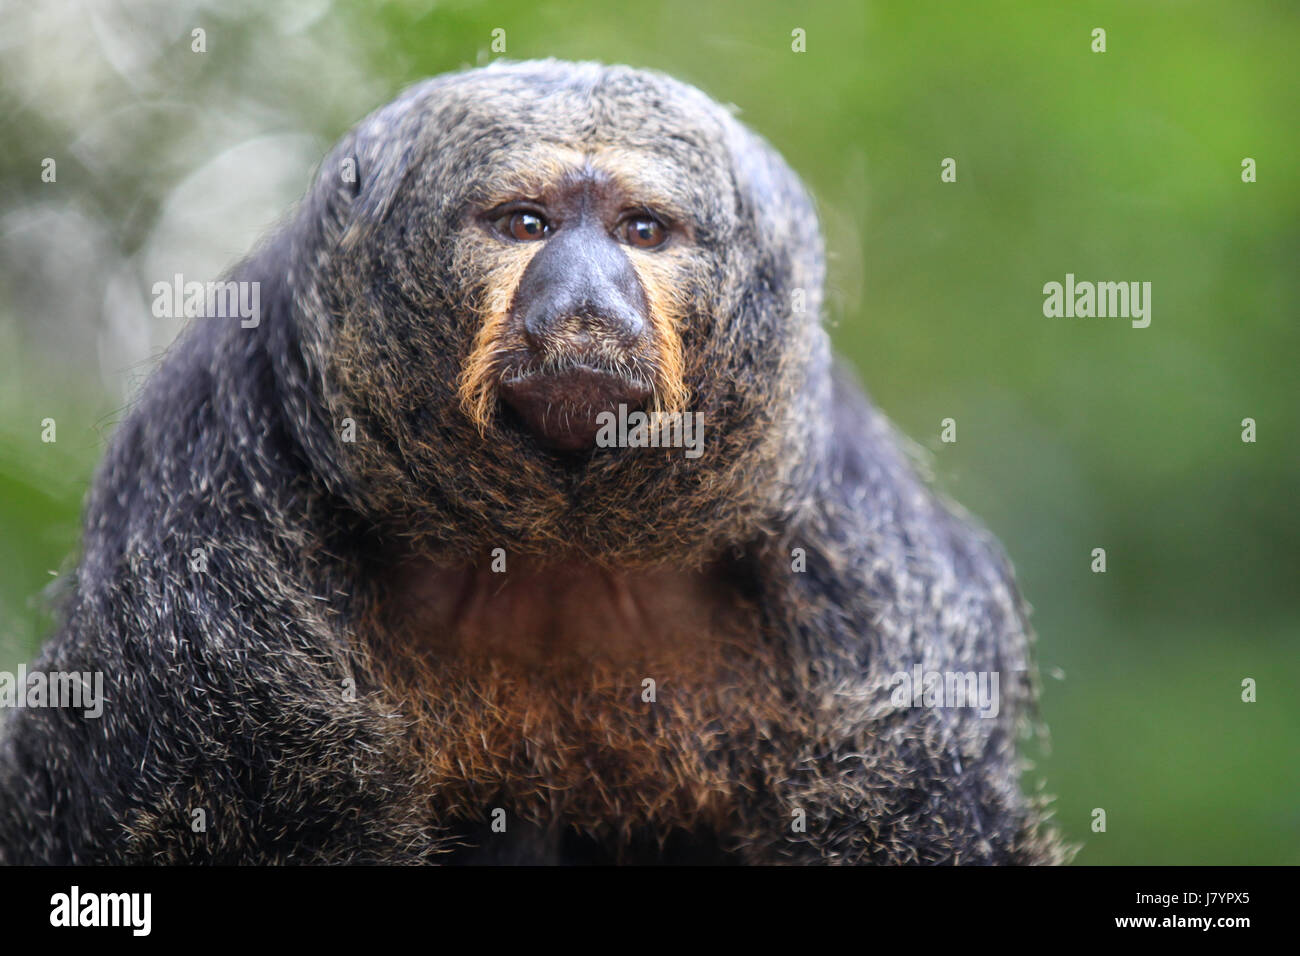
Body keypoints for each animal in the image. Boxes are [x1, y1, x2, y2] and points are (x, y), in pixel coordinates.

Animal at [0, 59, 1066, 865]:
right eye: (525, 224)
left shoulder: (888, 599)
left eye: (642, 231)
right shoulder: (212, 525)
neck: (555, 551)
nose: (587, 296)